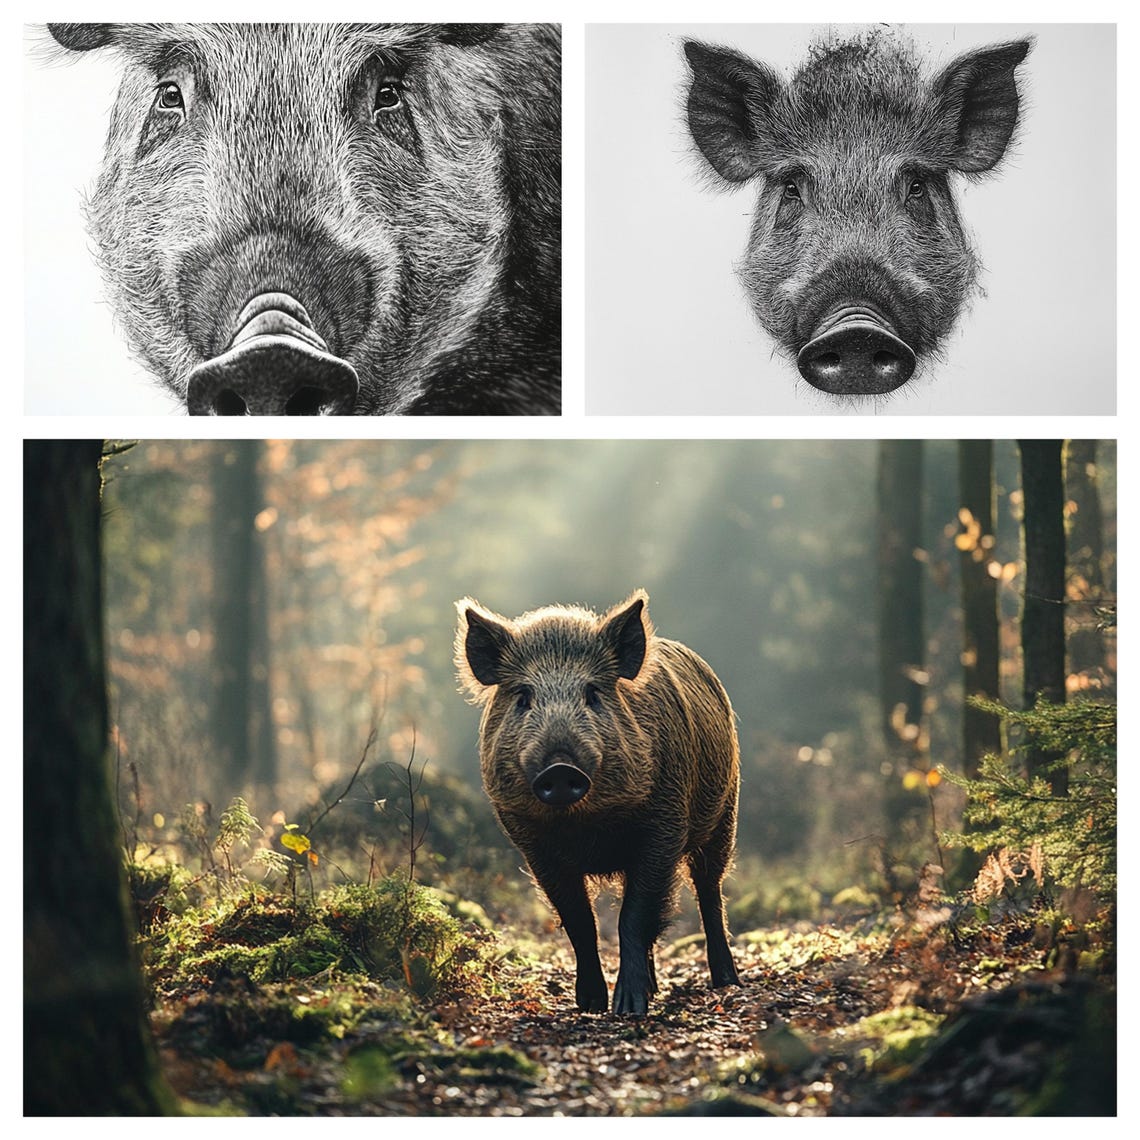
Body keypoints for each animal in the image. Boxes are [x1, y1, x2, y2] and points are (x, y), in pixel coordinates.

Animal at [455, 590, 741, 1015]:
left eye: (592, 694)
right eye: (523, 697)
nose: (560, 768)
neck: (586, 825)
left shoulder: (664, 827)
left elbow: (633, 917)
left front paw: (629, 1008)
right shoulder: (533, 846)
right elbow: (579, 921)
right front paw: (590, 1004)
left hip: (725, 815)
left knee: (709, 891)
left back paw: (726, 981)